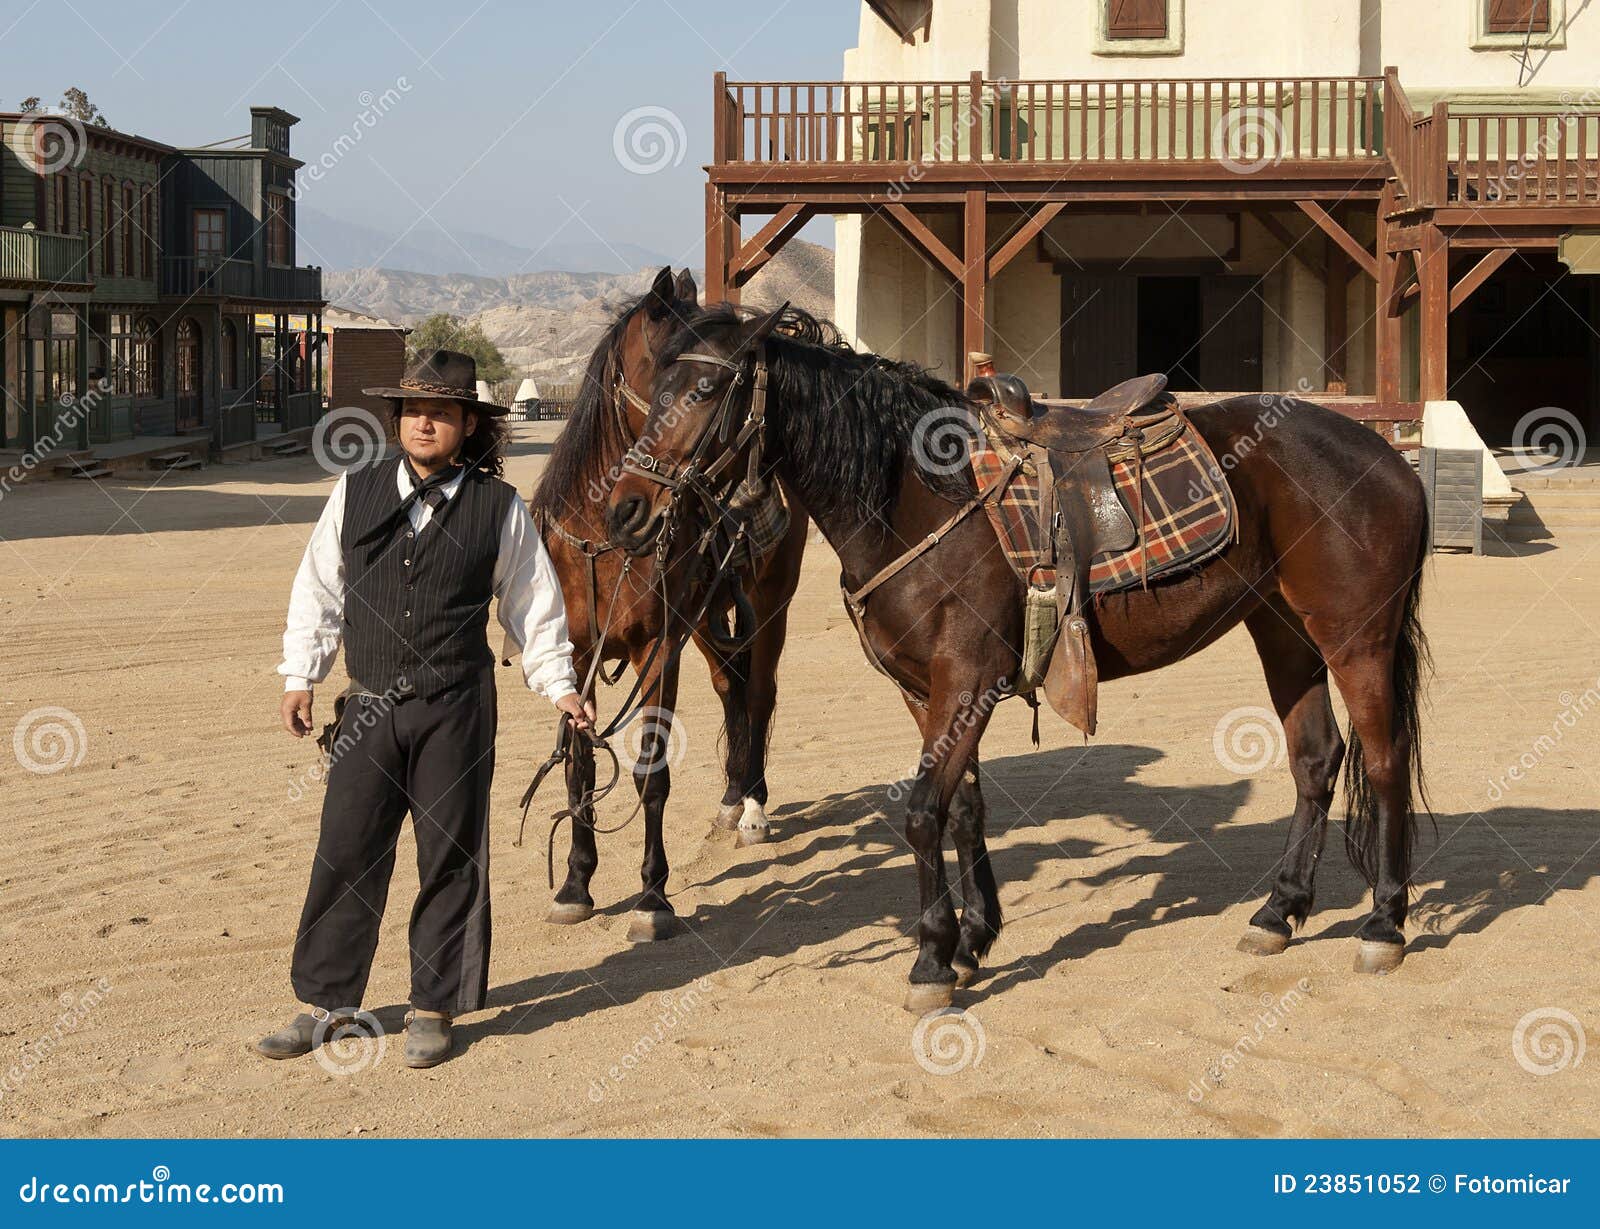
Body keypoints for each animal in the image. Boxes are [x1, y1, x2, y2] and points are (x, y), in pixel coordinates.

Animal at [525, 270, 809, 942]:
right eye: (660, 378)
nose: (631, 512)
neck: (600, 543)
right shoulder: (575, 656)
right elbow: (579, 765)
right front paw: (575, 883)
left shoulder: (658, 650)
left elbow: (651, 775)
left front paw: (653, 898)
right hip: (706, 620)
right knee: (731, 687)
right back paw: (732, 798)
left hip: (769, 606)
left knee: (758, 694)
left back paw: (753, 807)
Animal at [605, 302, 1430, 1010]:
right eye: (653, 391)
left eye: (704, 388)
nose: (625, 509)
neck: (916, 497)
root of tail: (1390, 459)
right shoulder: (926, 690)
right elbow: (964, 807)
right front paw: (974, 936)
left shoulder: (965, 679)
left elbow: (922, 812)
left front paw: (932, 958)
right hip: (1284, 632)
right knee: (1316, 760)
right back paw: (1279, 911)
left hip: (1356, 638)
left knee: (1384, 757)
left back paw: (1384, 923)